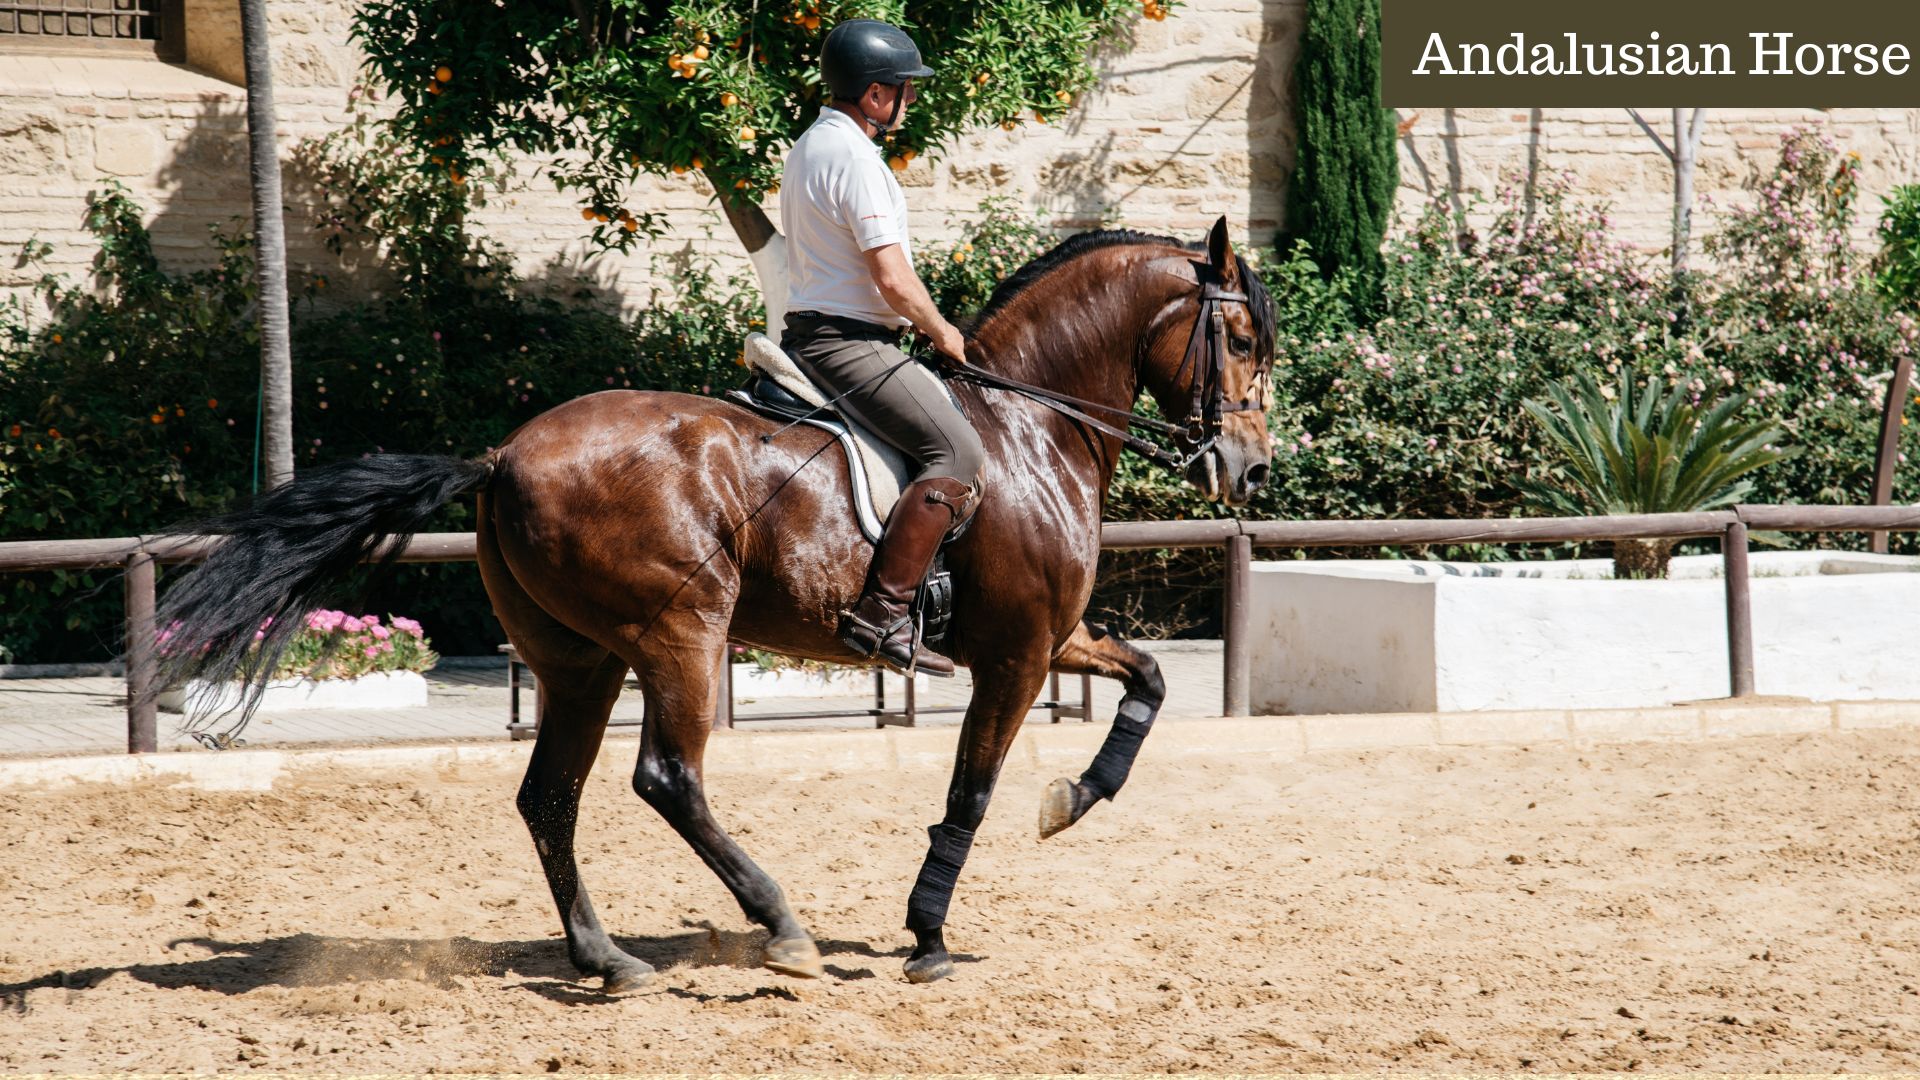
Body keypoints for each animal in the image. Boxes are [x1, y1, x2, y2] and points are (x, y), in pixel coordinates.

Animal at [153, 216, 1277, 990]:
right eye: (1240, 341)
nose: (1251, 469)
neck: (1029, 430)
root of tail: (502, 455)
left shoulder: (1053, 638)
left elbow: (1149, 679)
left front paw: (1075, 798)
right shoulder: (1017, 653)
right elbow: (970, 793)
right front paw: (929, 935)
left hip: (581, 660)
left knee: (550, 795)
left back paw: (607, 958)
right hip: (680, 634)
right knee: (667, 779)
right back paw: (781, 930)